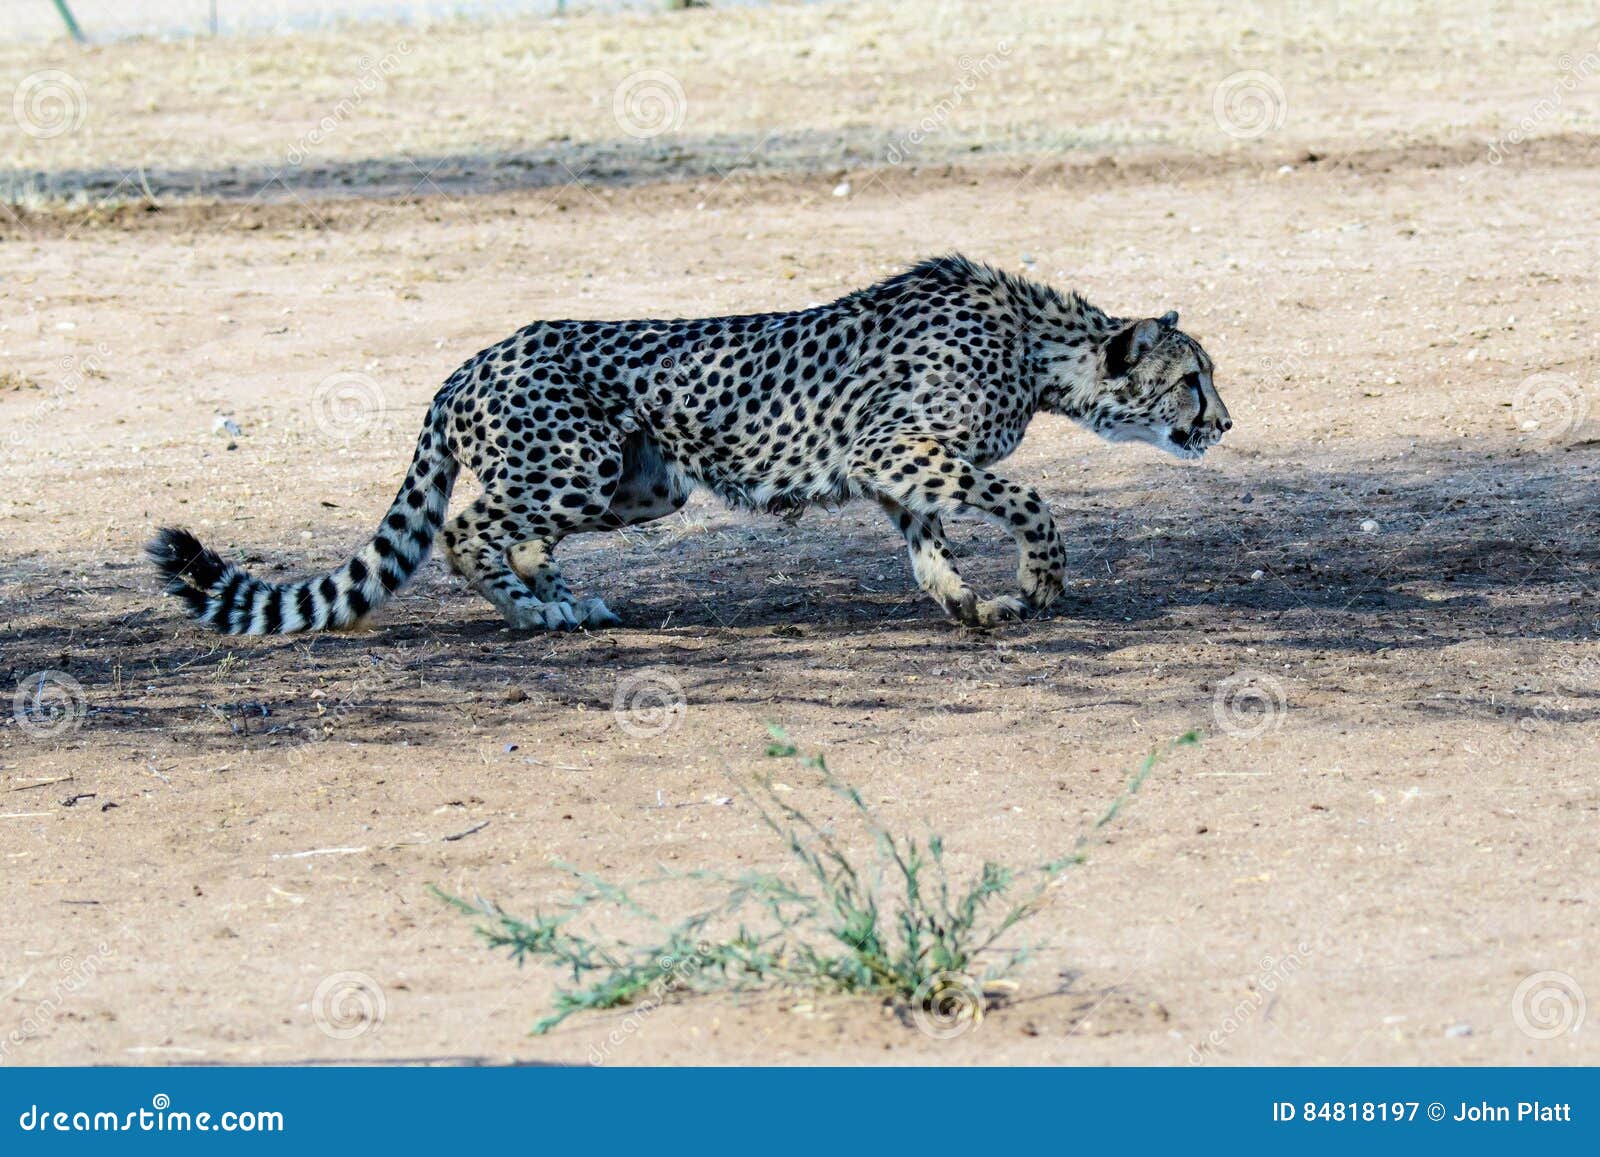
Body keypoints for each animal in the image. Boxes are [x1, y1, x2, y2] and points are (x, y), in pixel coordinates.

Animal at [148, 254, 1230, 635]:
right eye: (1192, 378)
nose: (1222, 423)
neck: (1036, 344)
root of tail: (474, 358)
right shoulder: (898, 450)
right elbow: (1028, 501)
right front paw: (1039, 581)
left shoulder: (896, 472)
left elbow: (930, 547)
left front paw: (968, 604)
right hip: (577, 463)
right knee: (465, 527)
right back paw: (532, 613)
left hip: (643, 482)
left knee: (521, 535)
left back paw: (564, 600)